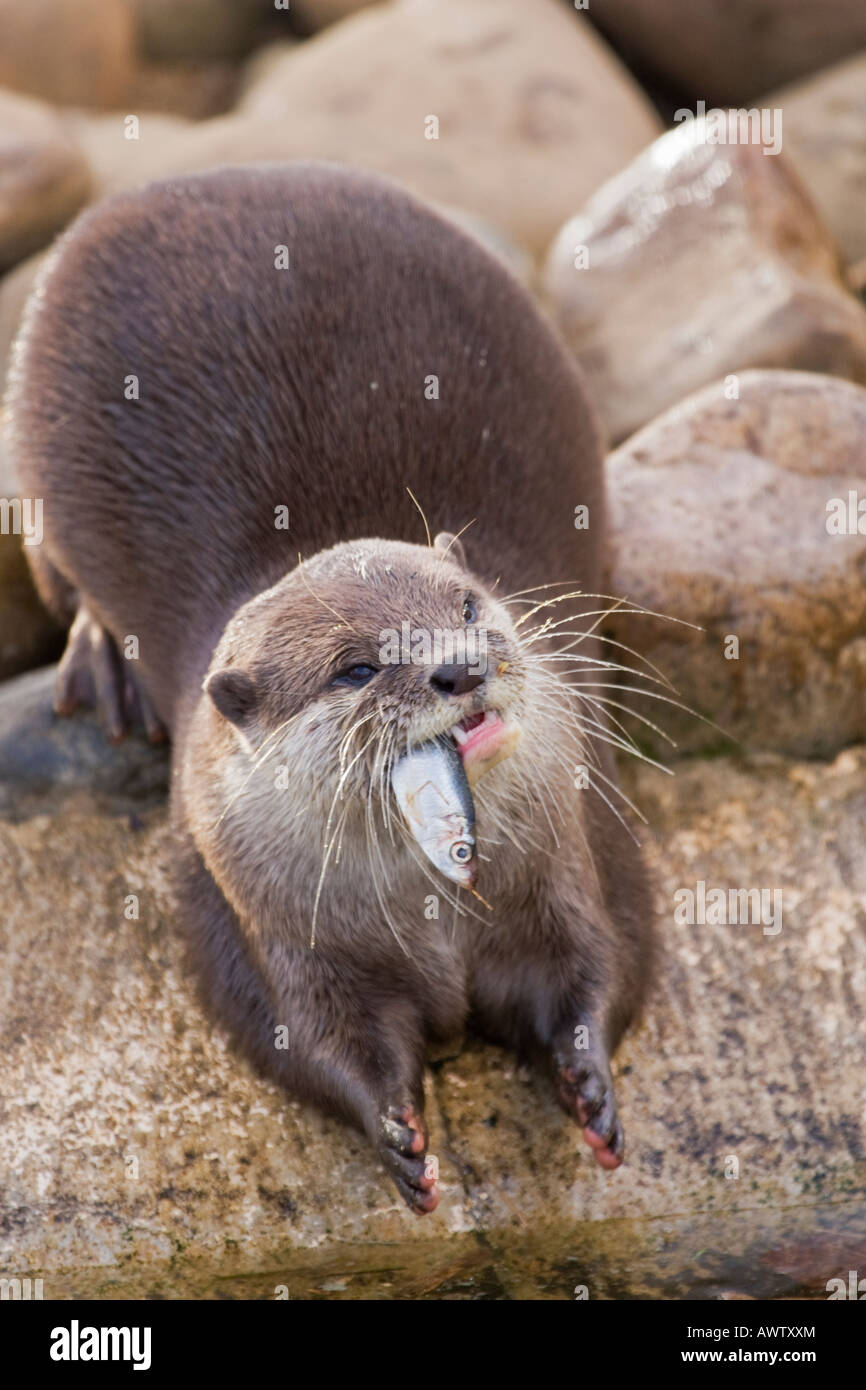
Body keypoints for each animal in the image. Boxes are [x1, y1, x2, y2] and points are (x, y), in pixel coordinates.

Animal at [6, 163, 653, 1213]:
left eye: (467, 603)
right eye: (355, 666)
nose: (459, 668)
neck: (436, 918)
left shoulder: (577, 845)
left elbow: (607, 963)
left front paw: (591, 1087)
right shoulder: (258, 915)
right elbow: (307, 1039)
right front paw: (398, 1133)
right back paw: (101, 665)